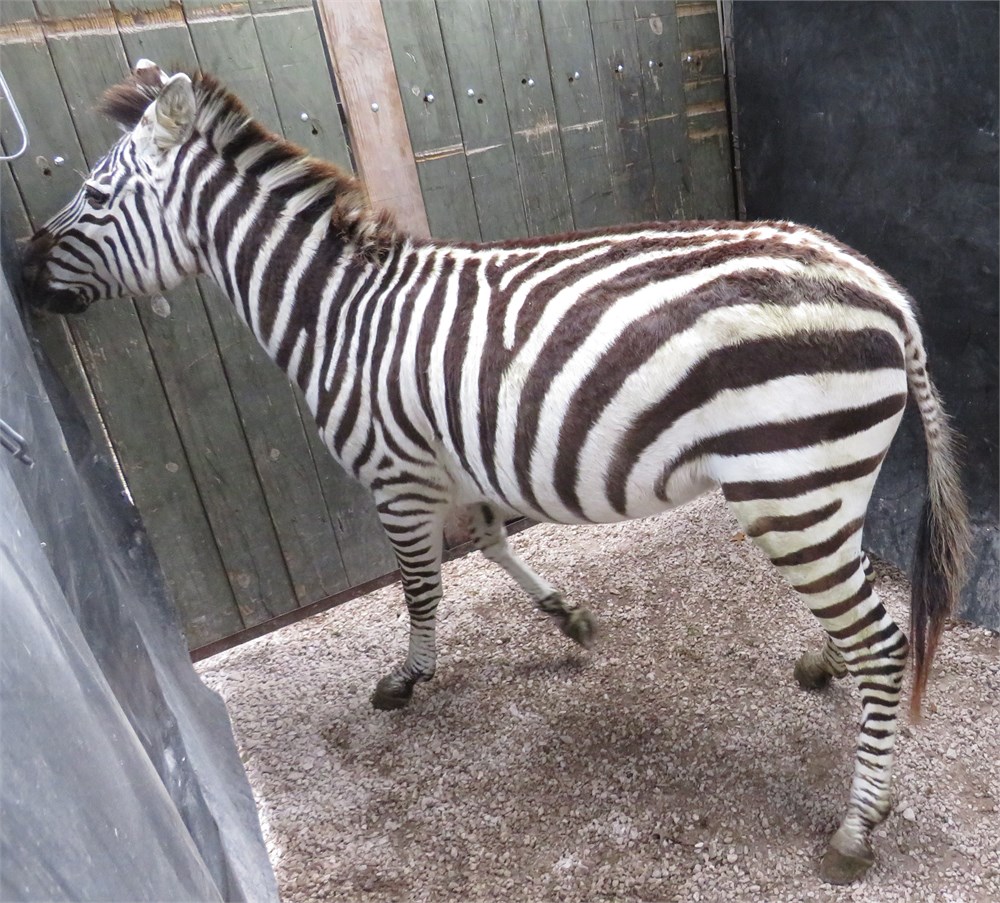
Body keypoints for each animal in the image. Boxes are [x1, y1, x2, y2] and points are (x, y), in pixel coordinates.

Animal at [21, 63, 969, 884]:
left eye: (95, 196)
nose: (22, 273)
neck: (339, 314)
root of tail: (885, 294)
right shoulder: (454, 453)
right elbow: (487, 538)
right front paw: (567, 616)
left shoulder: (394, 471)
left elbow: (420, 585)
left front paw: (411, 676)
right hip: (825, 485)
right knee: (860, 606)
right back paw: (824, 666)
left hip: (790, 481)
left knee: (885, 642)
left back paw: (858, 823)